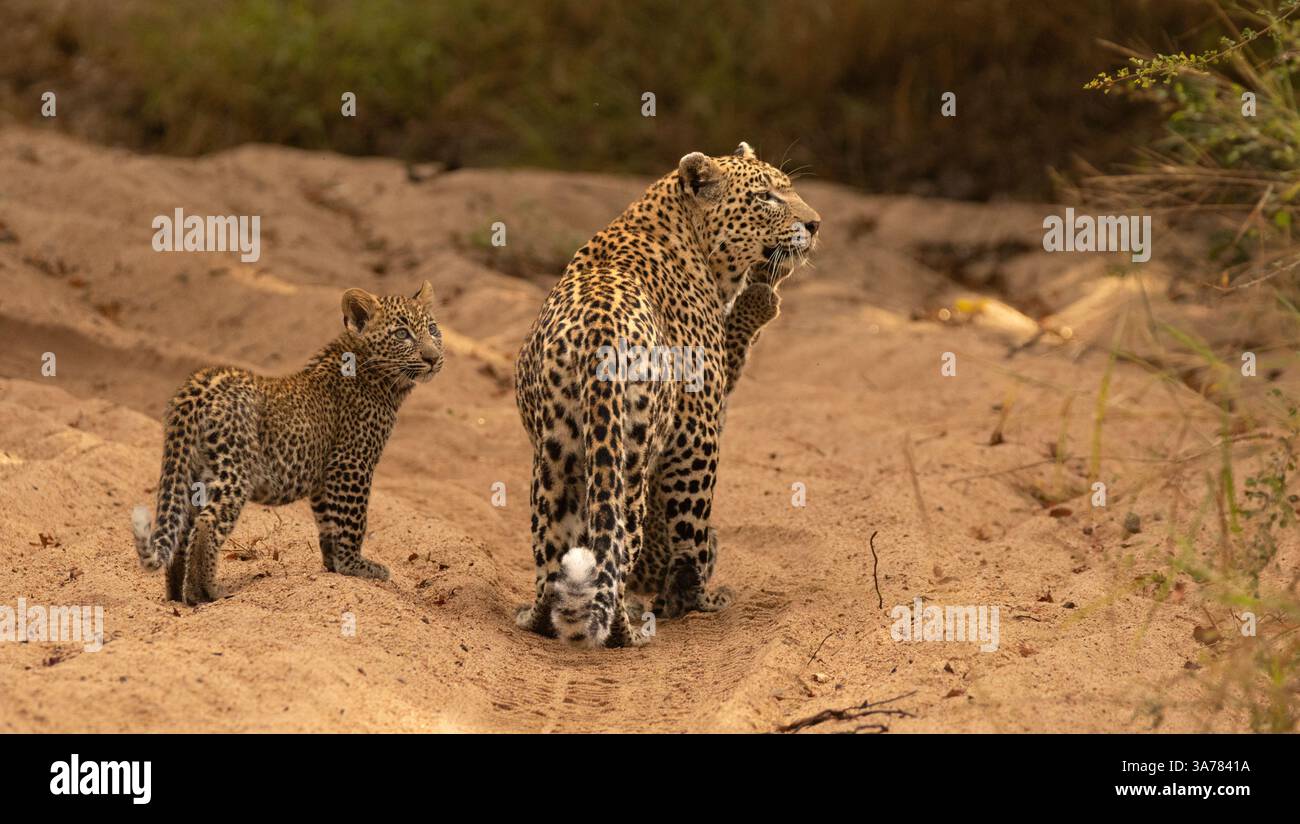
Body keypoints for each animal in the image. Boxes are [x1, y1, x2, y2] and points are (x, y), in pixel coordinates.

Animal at [132, 282, 444, 605]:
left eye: (433, 329)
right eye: (402, 334)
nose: (433, 358)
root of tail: (198, 386)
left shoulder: (323, 475)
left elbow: (328, 525)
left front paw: (334, 568)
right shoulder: (350, 464)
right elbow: (352, 521)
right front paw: (356, 567)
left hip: (191, 469)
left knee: (182, 527)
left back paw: (175, 596)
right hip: (234, 466)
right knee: (206, 522)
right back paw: (204, 594)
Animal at [514, 141, 820, 647]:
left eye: (789, 188)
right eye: (766, 197)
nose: (816, 224)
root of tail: (600, 335)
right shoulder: (697, 427)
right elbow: (689, 540)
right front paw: (696, 602)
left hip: (555, 457)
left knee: (553, 550)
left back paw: (541, 617)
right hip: (634, 459)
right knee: (622, 546)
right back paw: (631, 629)